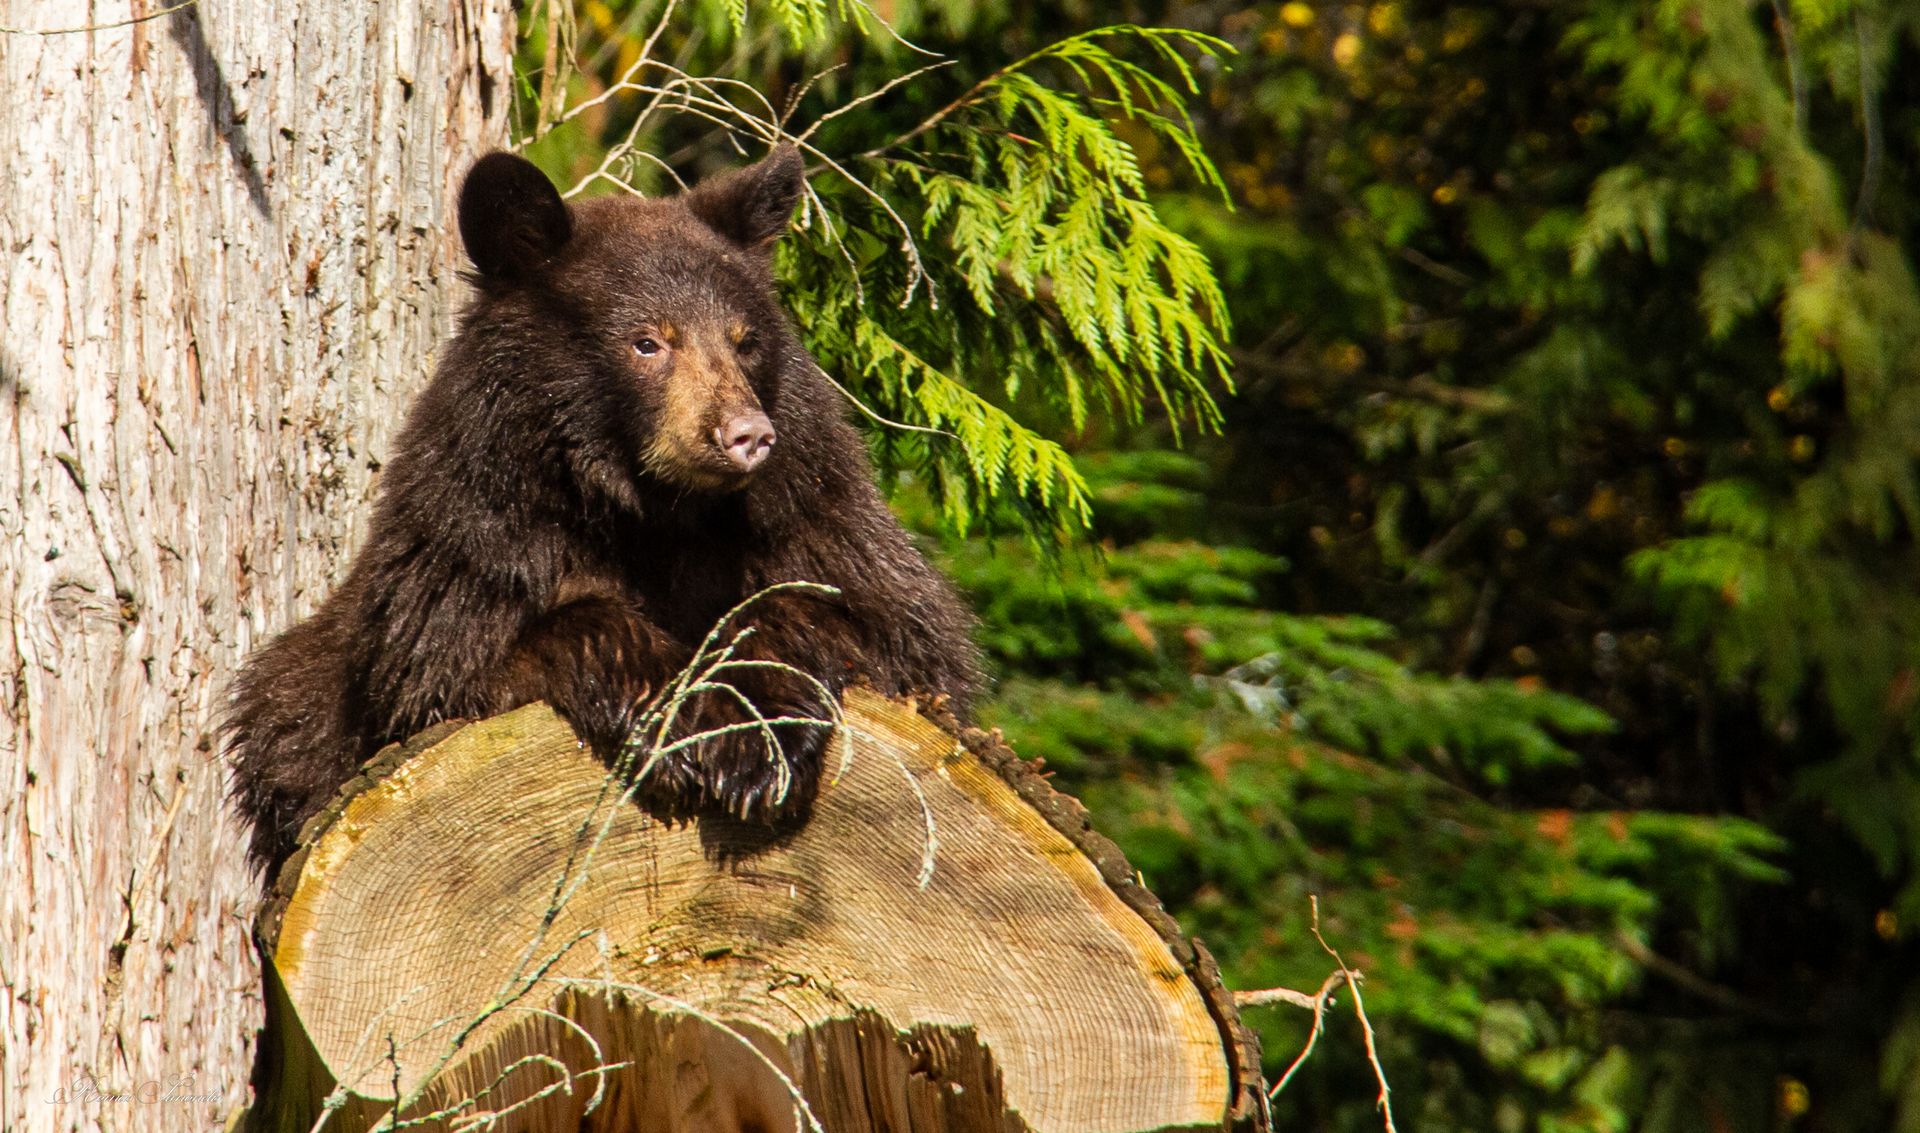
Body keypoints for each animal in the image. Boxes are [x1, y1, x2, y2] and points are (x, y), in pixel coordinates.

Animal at [226, 146, 979, 873]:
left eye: (745, 341)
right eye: (648, 340)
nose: (746, 434)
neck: (659, 512)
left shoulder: (809, 511)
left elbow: (879, 622)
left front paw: (760, 739)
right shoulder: (474, 546)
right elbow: (474, 655)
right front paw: (689, 726)